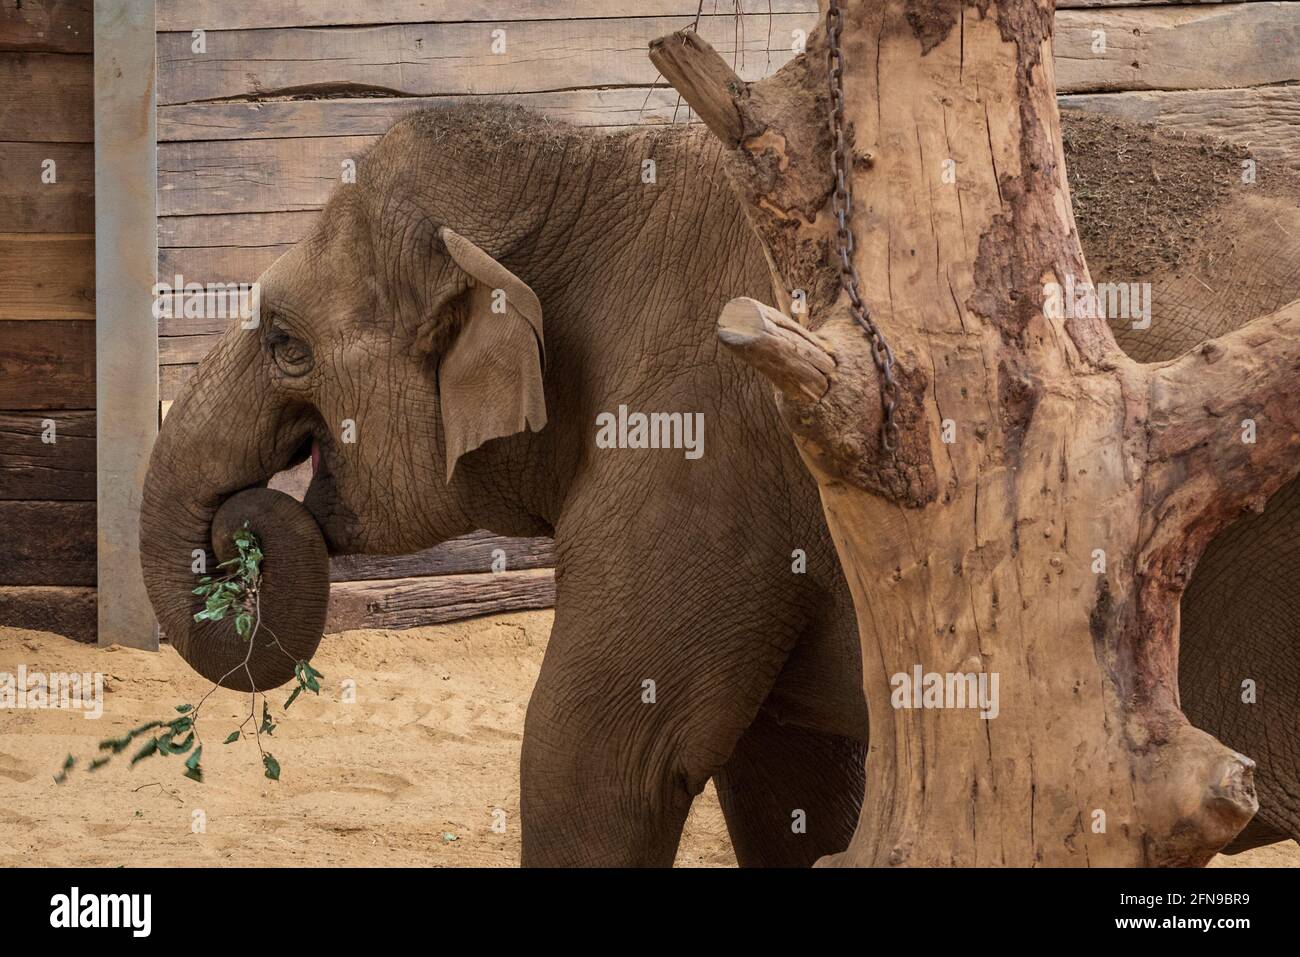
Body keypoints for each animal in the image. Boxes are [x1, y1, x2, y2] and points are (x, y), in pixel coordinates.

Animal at [140, 102, 1300, 865]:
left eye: (285, 342)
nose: (248, 523)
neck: (594, 161)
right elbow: (784, 777)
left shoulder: (703, 440)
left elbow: (601, 755)